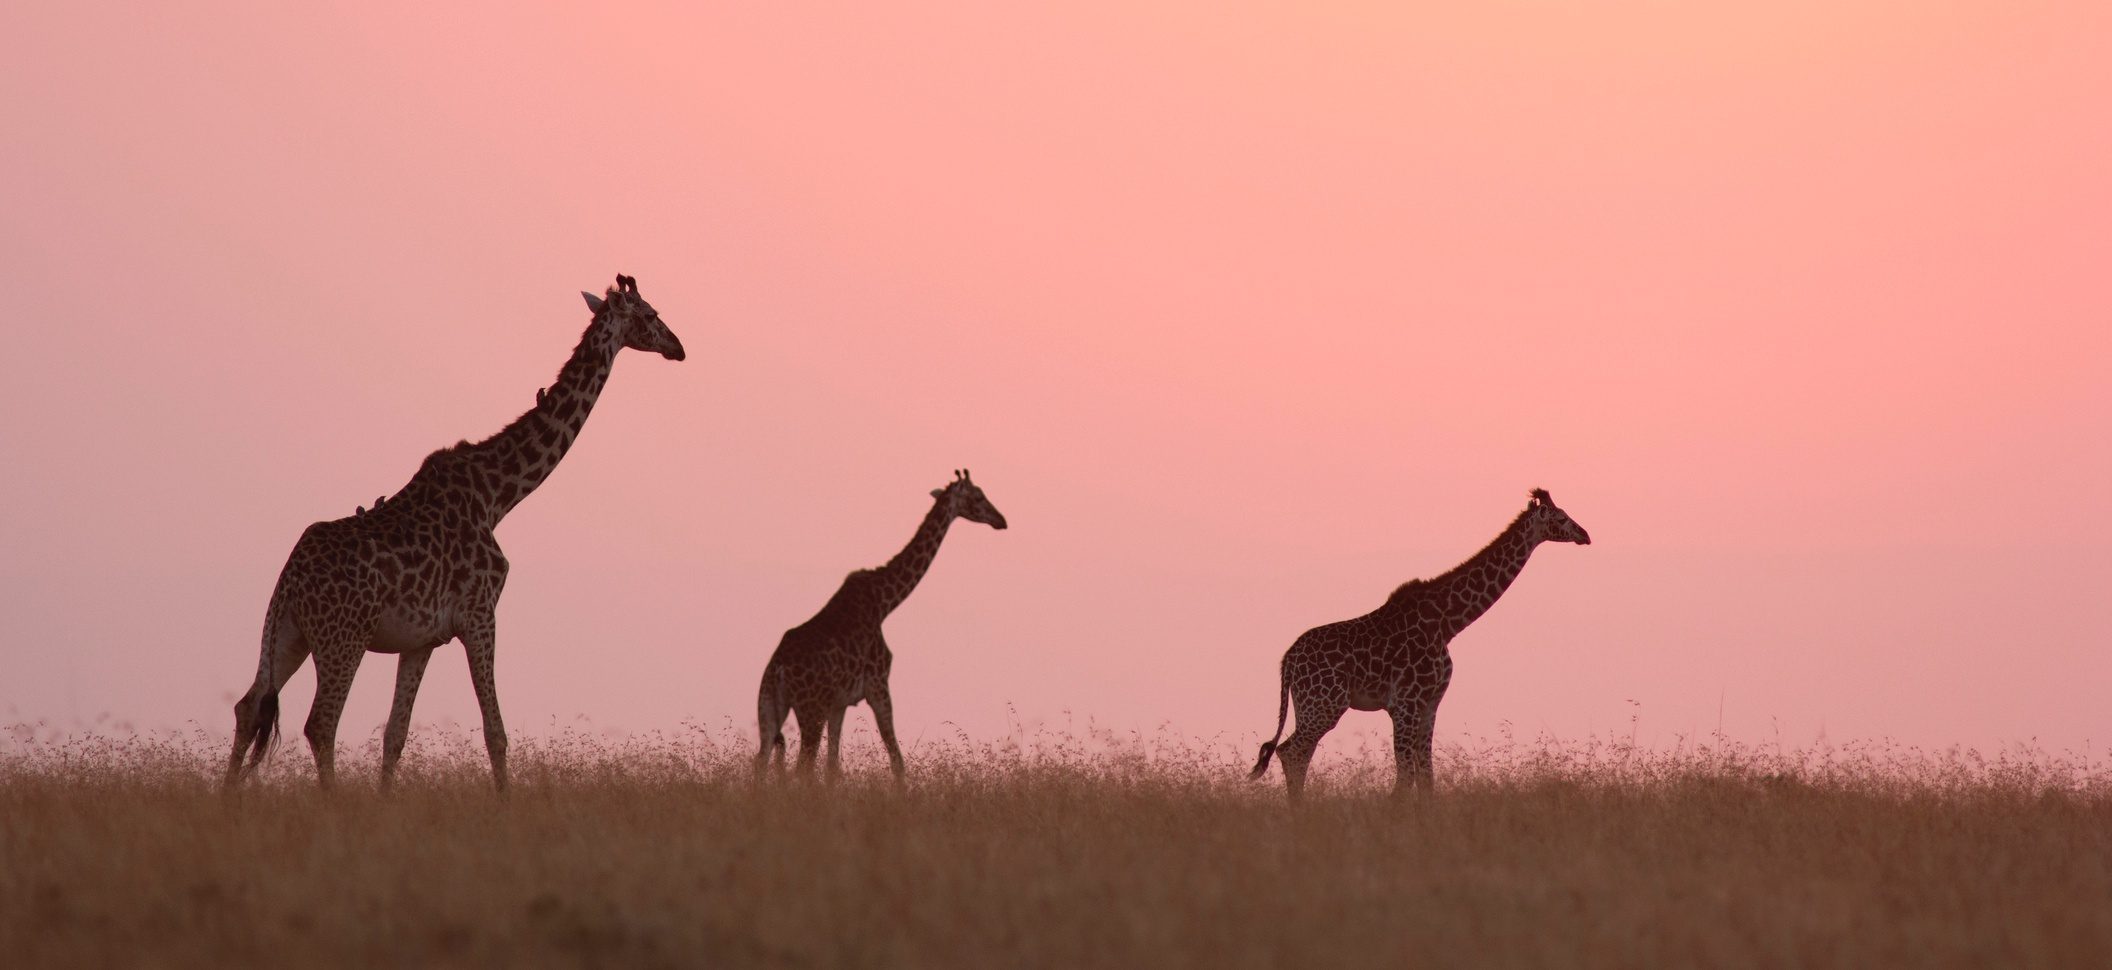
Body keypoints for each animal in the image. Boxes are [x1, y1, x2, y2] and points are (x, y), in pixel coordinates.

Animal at [222, 274, 687, 794]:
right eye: (650, 314)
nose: (678, 347)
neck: (498, 495)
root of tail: (291, 579)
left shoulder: (421, 639)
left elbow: (395, 735)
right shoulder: (481, 614)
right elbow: (495, 732)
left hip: (286, 632)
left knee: (249, 706)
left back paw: (228, 800)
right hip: (342, 639)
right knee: (320, 722)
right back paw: (331, 803)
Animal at [753, 470, 1008, 785]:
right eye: (979, 496)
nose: (1001, 520)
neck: (885, 603)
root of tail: (778, 669)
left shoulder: (838, 703)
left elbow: (833, 767)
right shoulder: (878, 684)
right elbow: (897, 760)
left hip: (768, 705)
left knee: (761, 760)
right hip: (809, 710)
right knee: (801, 766)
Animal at [1249, 488, 1591, 802]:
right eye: (1562, 517)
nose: (1585, 534)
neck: (1447, 624)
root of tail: (1288, 660)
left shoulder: (1430, 703)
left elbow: (1426, 774)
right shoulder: (1405, 703)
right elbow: (1405, 775)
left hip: (1308, 704)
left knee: (1293, 751)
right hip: (1325, 704)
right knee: (1292, 751)